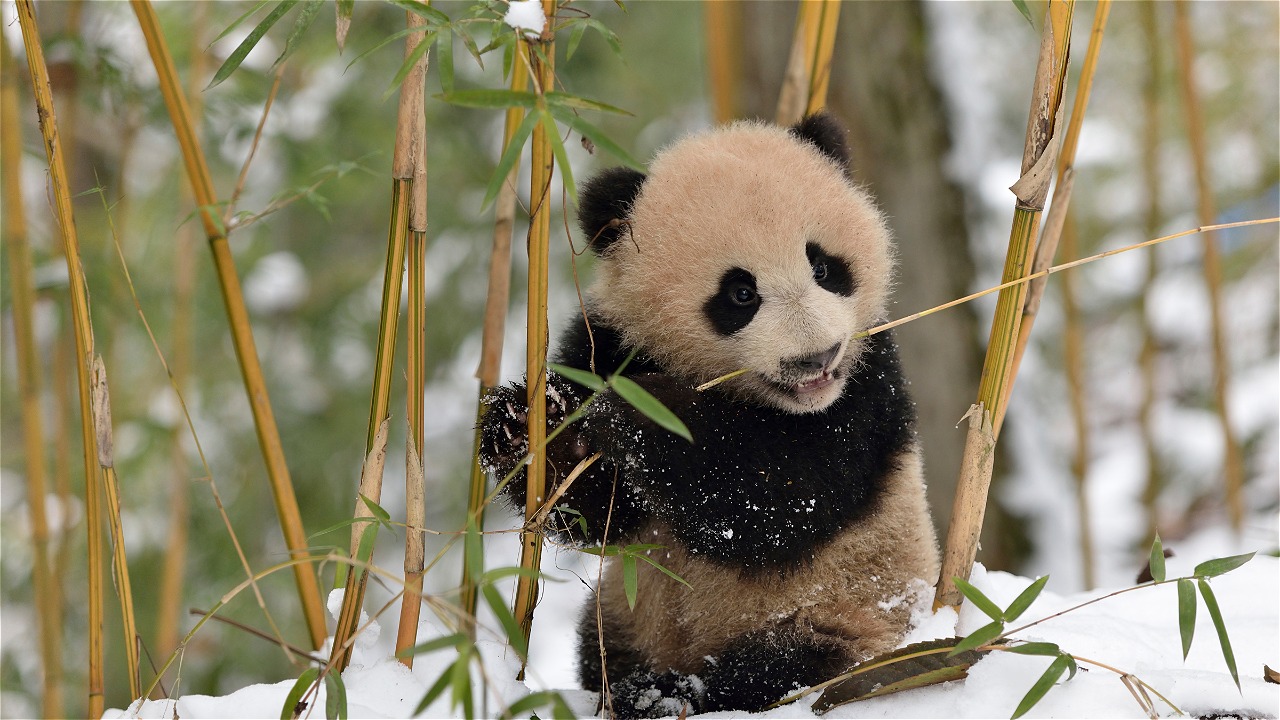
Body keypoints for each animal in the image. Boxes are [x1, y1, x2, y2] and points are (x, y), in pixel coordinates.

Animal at [480, 112, 939, 718]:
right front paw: (524, 425)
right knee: (603, 646)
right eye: (740, 293)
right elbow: (599, 511)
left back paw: (675, 694)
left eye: (823, 266)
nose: (815, 358)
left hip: (851, 611)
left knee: (782, 671)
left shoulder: (867, 385)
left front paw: (640, 411)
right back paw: (637, 687)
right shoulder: (608, 342)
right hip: (627, 611)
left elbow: (780, 497)